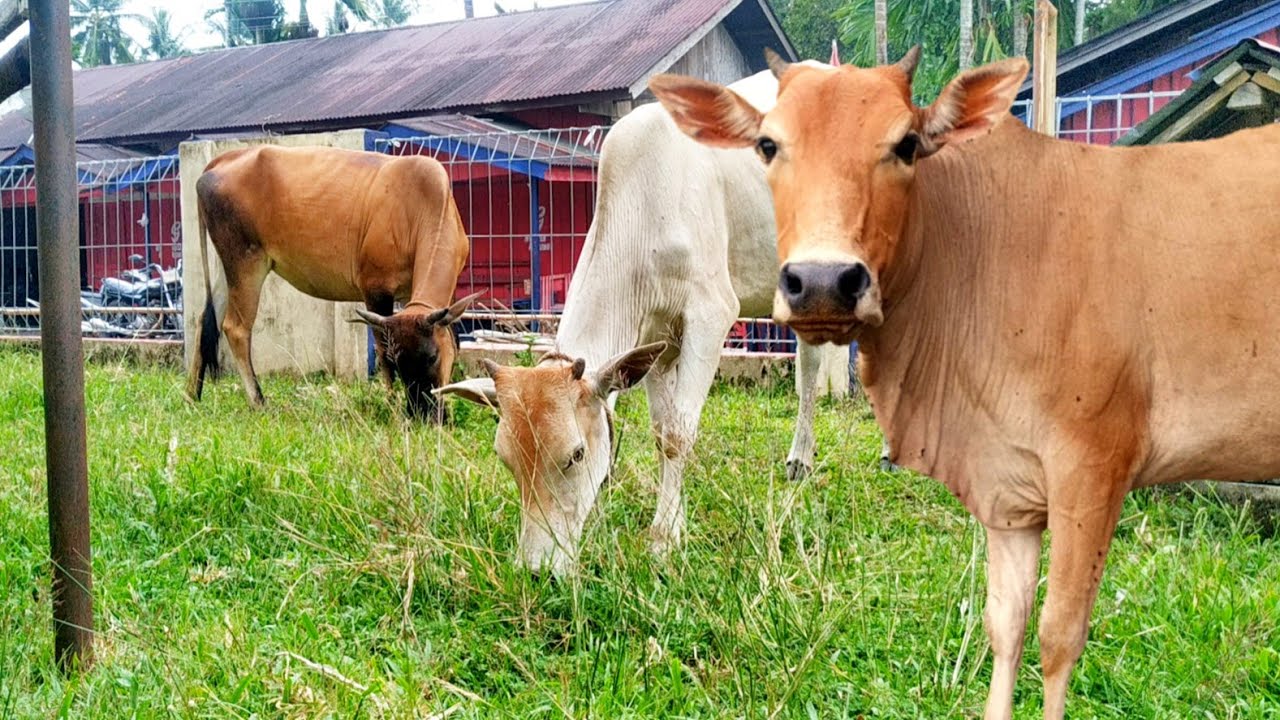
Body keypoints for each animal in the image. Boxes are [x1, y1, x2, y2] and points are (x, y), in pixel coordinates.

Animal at [185, 145, 480, 420]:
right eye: (400, 362)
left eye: (433, 356)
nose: (424, 414)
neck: (421, 201)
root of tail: (221, 160)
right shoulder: (376, 290)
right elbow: (382, 352)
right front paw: (391, 402)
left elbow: (454, 339)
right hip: (247, 261)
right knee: (235, 327)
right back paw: (258, 400)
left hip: (227, 266)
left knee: (204, 319)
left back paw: (191, 396)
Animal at [435, 64, 845, 577]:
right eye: (505, 459)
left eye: (575, 454)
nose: (537, 569)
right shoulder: (656, 339)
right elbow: (660, 430)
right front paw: (677, 520)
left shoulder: (711, 312)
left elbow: (678, 434)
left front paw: (662, 538)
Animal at [649, 48, 1280, 719]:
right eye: (768, 144)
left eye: (905, 144)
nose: (822, 282)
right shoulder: (1005, 487)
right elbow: (1005, 625)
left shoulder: (1092, 469)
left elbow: (1058, 637)